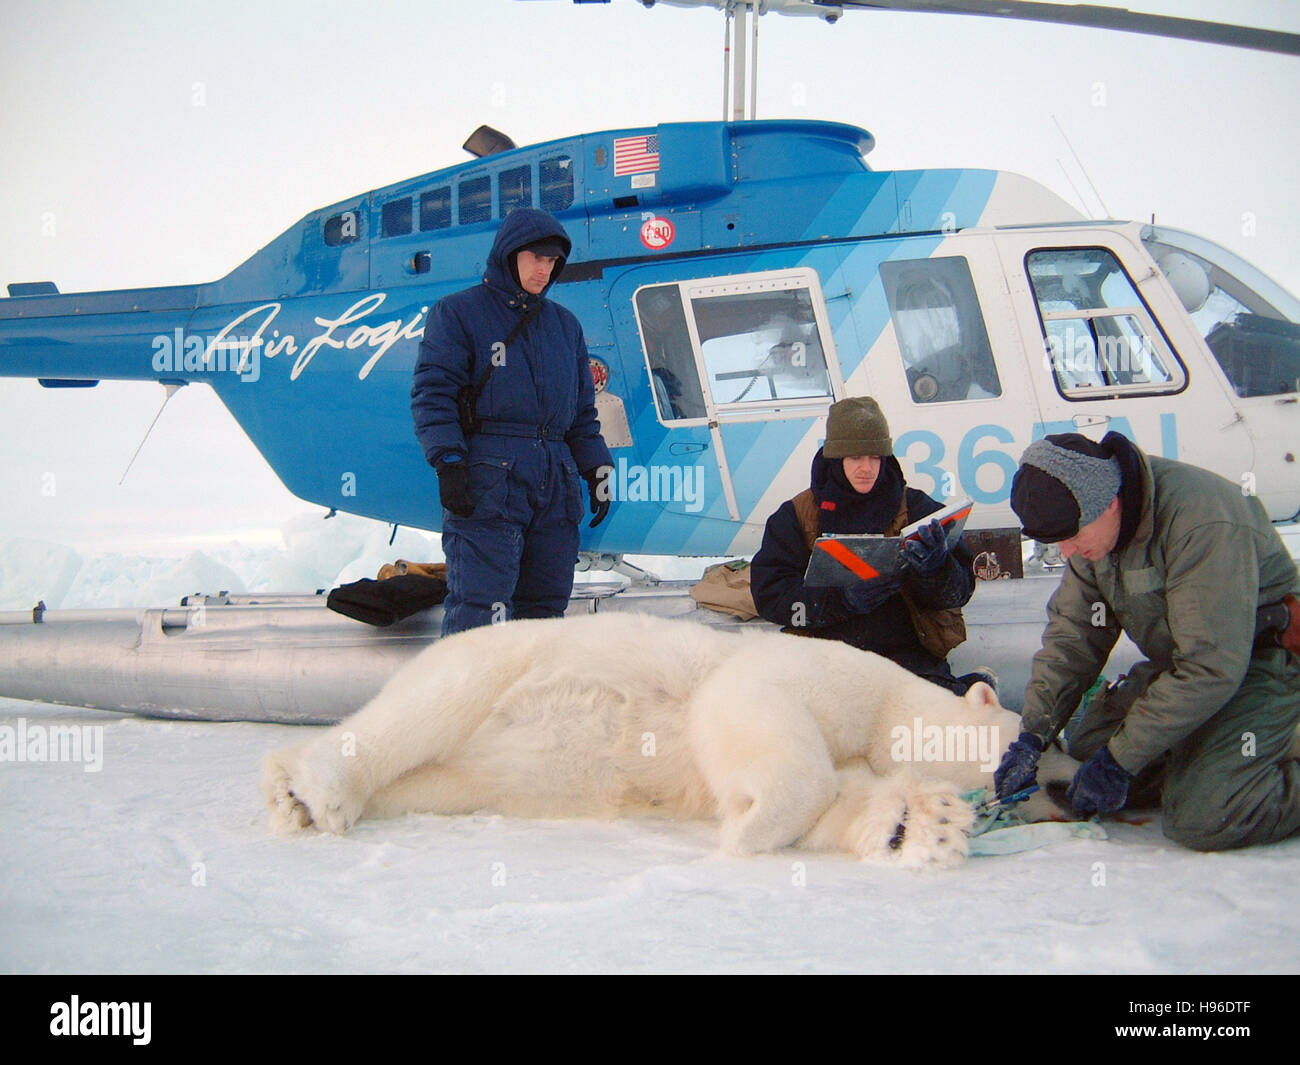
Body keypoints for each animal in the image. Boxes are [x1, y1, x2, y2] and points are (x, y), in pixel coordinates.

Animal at [263, 611, 1072, 867]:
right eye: (1034, 744)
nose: (1071, 790)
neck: (893, 709)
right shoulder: (840, 673)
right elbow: (751, 706)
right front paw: (749, 830)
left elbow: (845, 801)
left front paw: (922, 824)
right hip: (497, 661)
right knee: (425, 708)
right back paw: (312, 789)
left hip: (474, 776)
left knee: (433, 778)